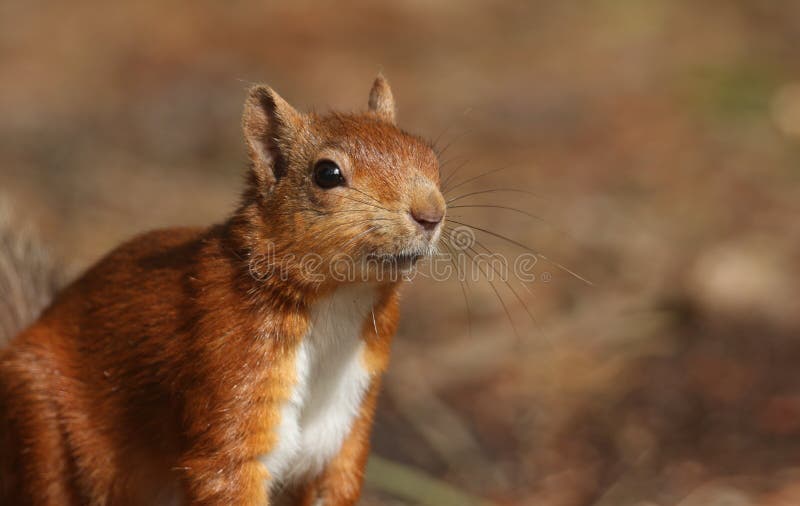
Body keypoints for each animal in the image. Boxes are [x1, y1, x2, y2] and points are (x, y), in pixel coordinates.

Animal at [0, 75, 446, 506]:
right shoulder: (228, 362)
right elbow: (224, 471)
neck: (339, 303)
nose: (431, 214)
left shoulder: (345, 426)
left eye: (428, 154)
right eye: (327, 173)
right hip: (41, 429)